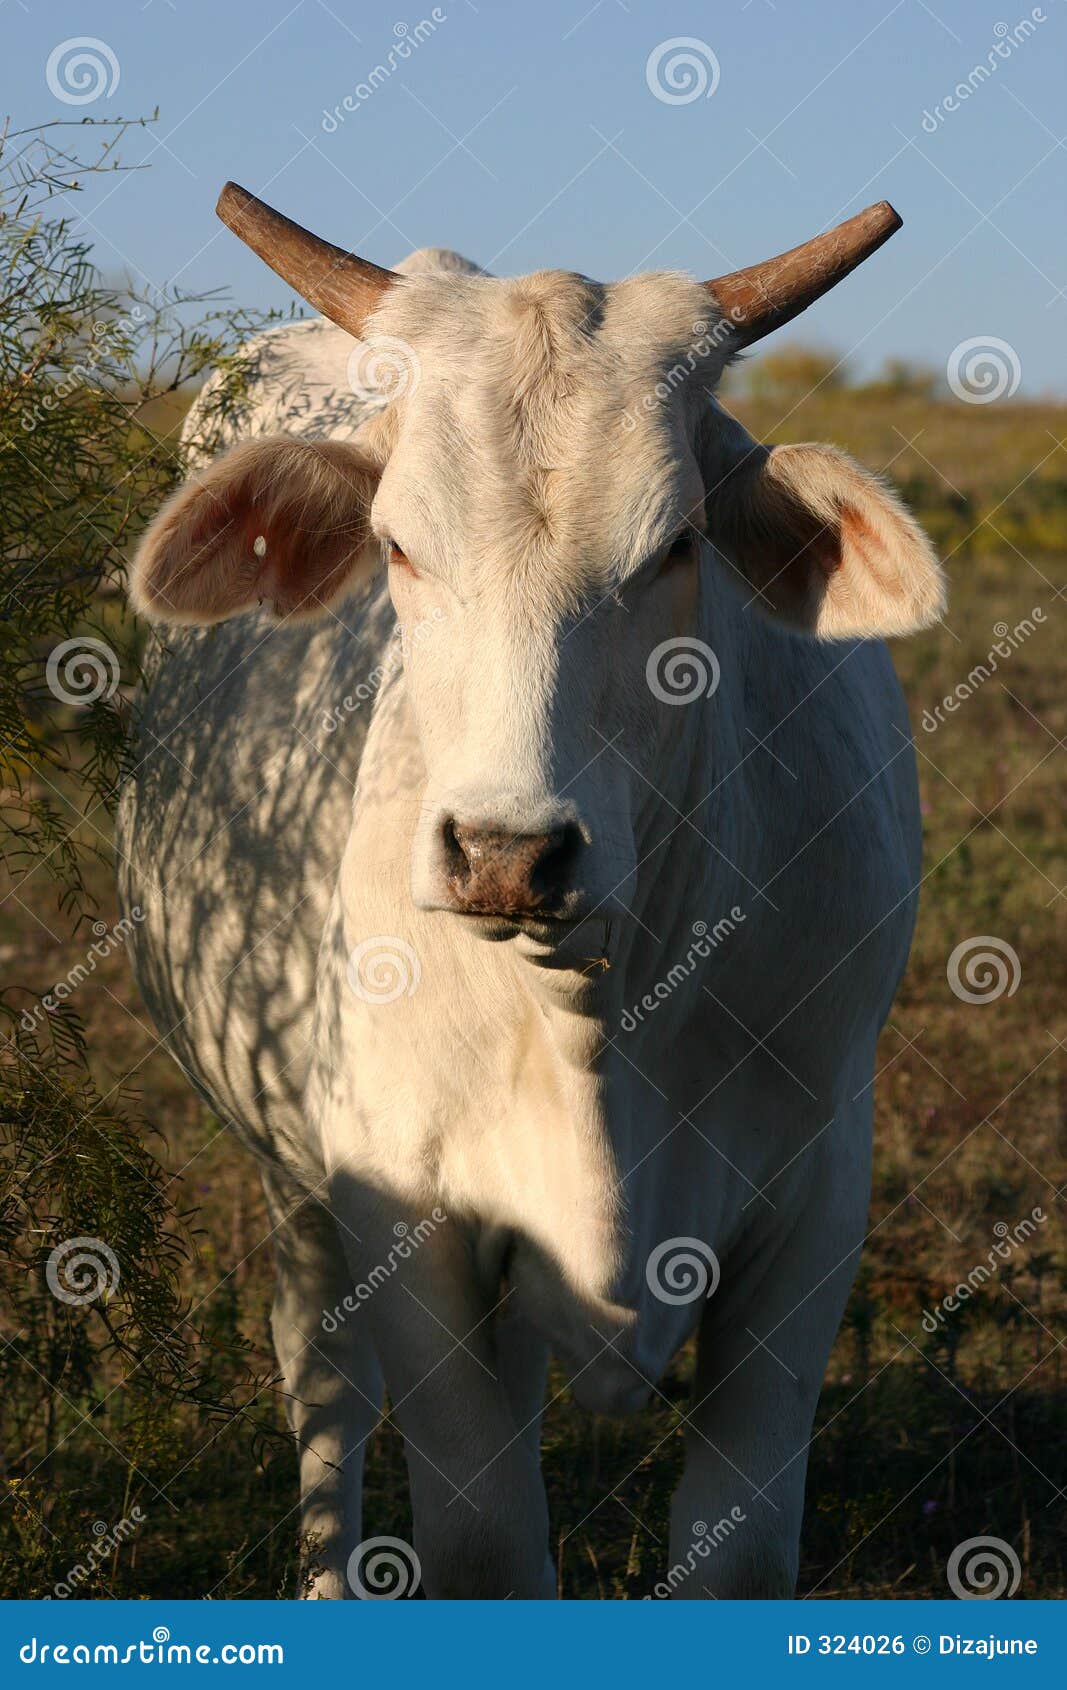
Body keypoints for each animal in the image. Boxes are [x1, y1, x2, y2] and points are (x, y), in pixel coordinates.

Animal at [117, 184, 944, 1600]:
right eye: (397, 544)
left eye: (677, 545)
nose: (506, 850)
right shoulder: (409, 1206)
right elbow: (484, 1543)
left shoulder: (816, 1197)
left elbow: (734, 1549)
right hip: (295, 1183)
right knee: (325, 1390)